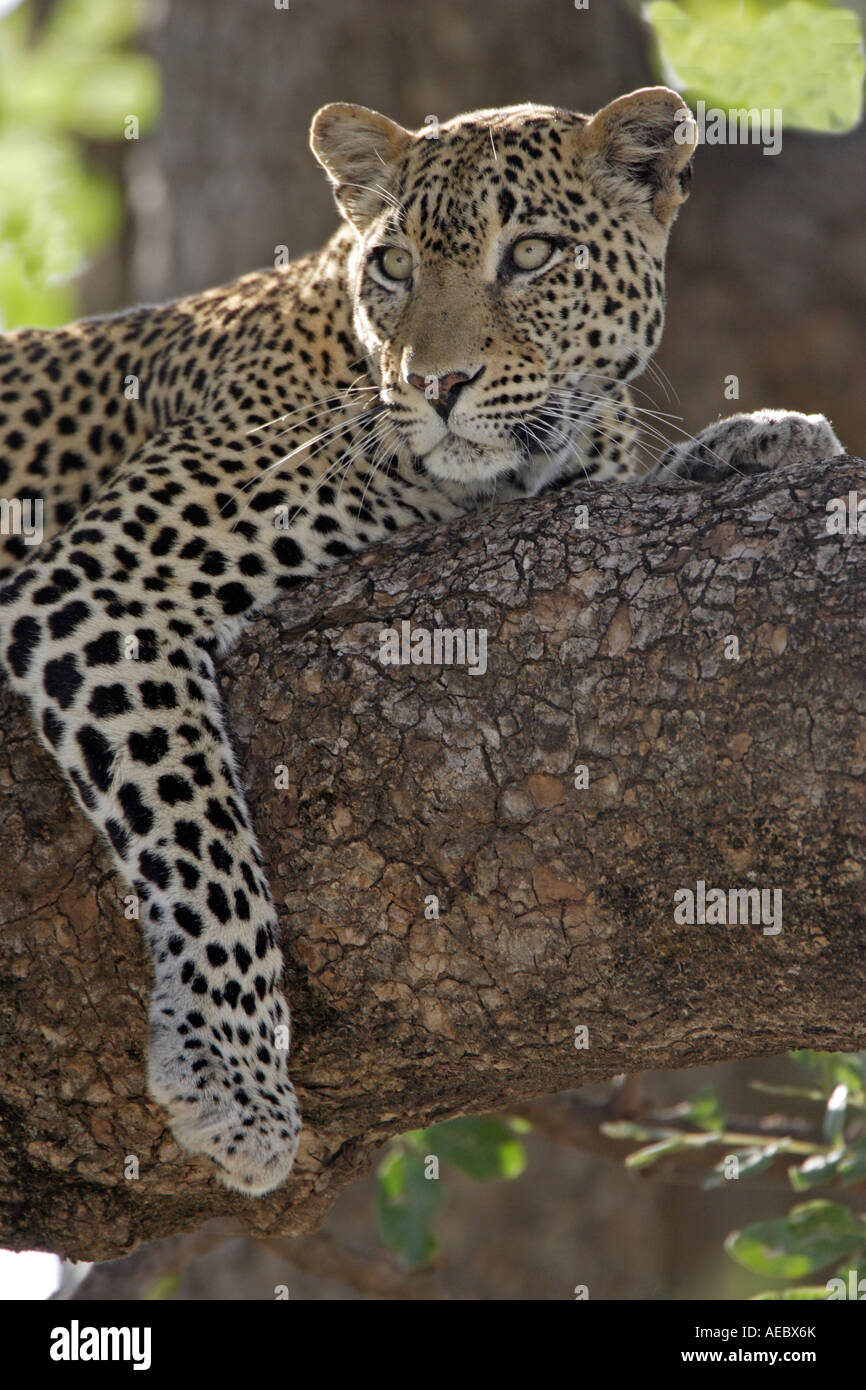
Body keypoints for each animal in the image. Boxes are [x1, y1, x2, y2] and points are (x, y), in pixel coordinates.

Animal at [0, 86, 844, 1194]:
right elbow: (200, 830)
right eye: (393, 265)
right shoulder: (103, 585)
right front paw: (233, 1074)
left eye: (530, 254)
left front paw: (765, 439)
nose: (439, 385)